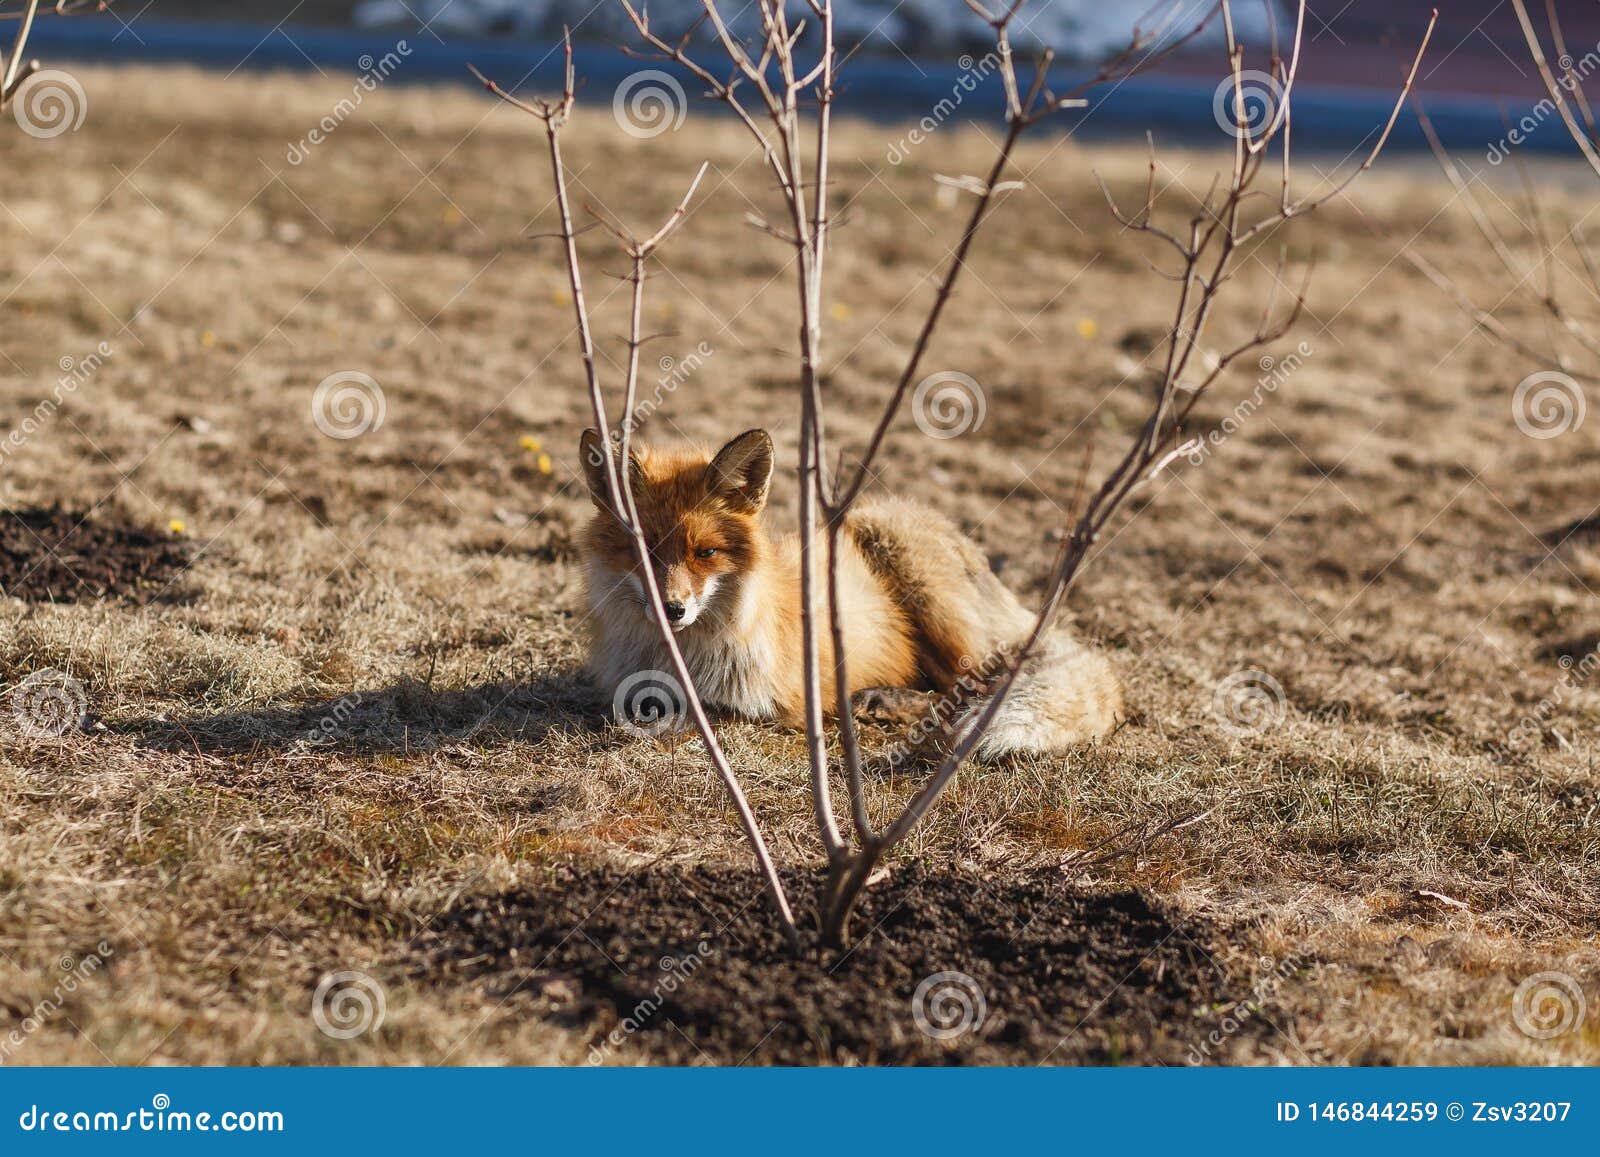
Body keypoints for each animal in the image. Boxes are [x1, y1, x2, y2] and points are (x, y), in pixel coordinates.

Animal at [578, 427, 1123, 759]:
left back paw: (892, 703)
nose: (672, 609)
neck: (680, 657)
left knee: (973, 685)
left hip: (918, 577)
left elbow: (705, 712)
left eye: (705, 552)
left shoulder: (786, 704)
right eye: (643, 548)